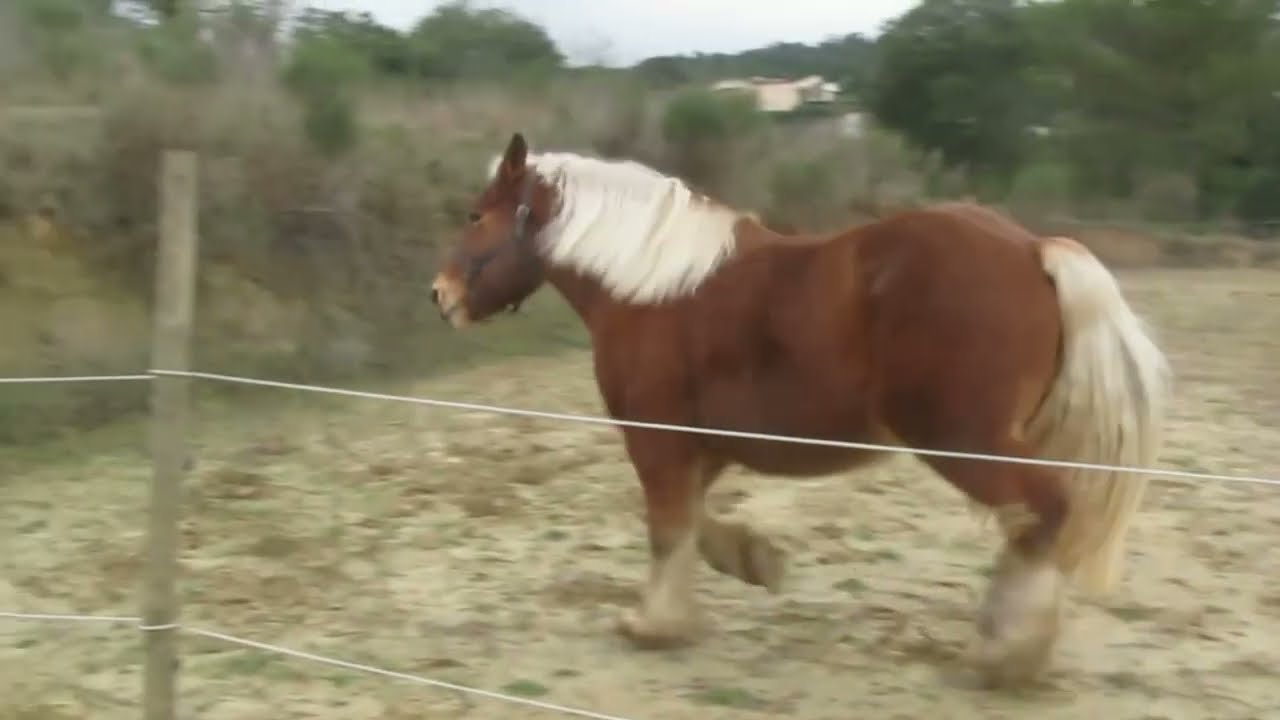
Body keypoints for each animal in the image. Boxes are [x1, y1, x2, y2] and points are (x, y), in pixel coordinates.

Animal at [429, 132, 1171, 687]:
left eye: (475, 216)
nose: (440, 295)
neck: (651, 287)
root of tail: (1032, 248)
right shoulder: (702, 445)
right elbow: (695, 522)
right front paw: (751, 560)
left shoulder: (656, 440)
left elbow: (667, 527)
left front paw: (652, 625)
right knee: (1034, 524)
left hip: (965, 442)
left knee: (1044, 511)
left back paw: (1007, 651)